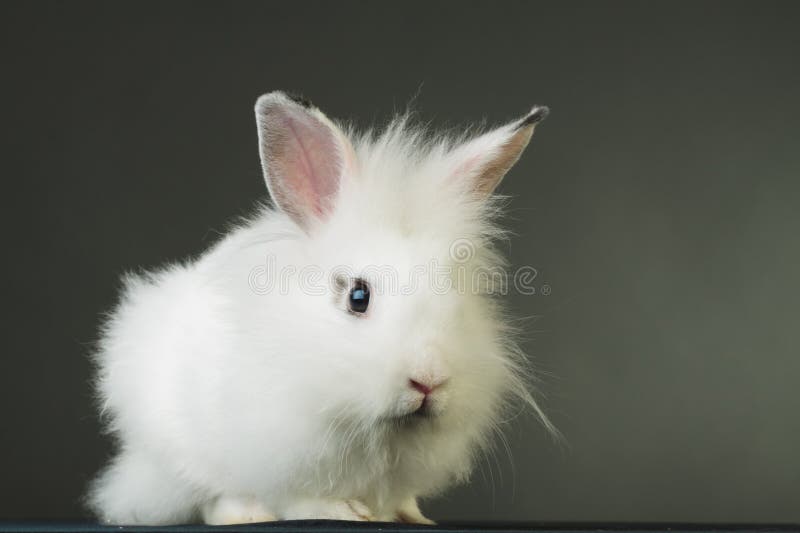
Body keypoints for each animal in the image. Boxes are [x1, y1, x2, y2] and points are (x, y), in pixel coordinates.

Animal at [87, 91, 553, 525]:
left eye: (457, 298)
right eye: (358, 297)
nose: (429, 381)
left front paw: (410, 516)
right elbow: (299, 497)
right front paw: (344, 512)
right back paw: (247, 514)